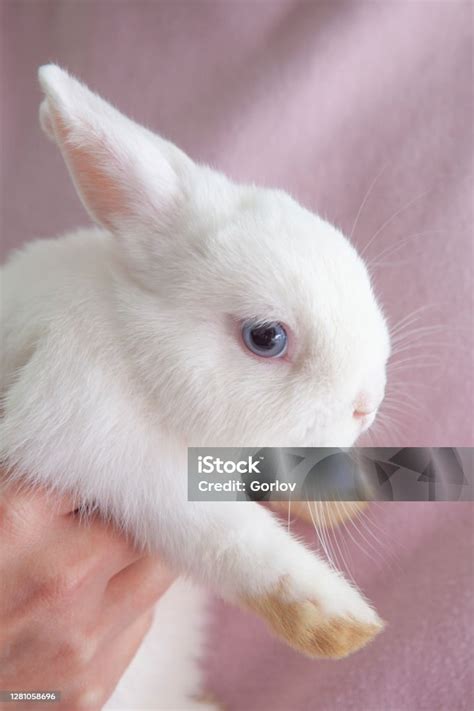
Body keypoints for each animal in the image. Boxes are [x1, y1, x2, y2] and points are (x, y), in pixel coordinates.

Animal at [0, 65, 390, 710]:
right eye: (266, 337)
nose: (367, 406)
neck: (132, 343)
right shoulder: (117, 462)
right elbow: (234, 542)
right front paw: (340, 623)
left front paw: (349, 495)